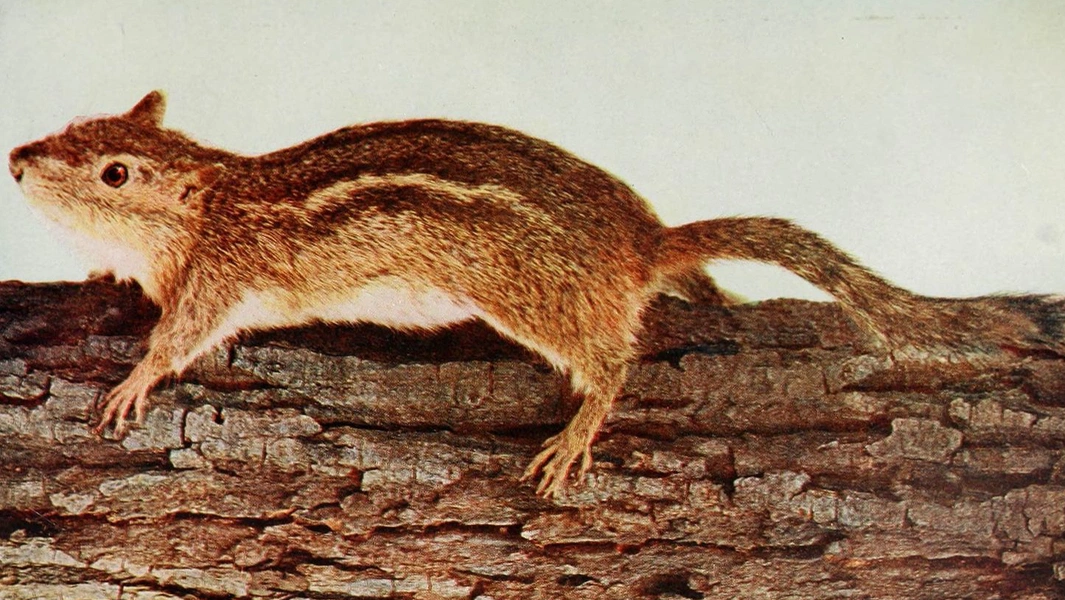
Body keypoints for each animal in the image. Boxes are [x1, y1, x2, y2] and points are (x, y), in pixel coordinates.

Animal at [9, 91, 1064, 497]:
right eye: (72, 126)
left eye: (113, 172)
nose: (17, 158)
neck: (210, 202)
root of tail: (642, 240)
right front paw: (102, 273)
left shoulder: (219, 278)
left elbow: (178, 337)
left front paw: (131, 382)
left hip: (533, 301)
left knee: (614, 359)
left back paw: (577, 432)